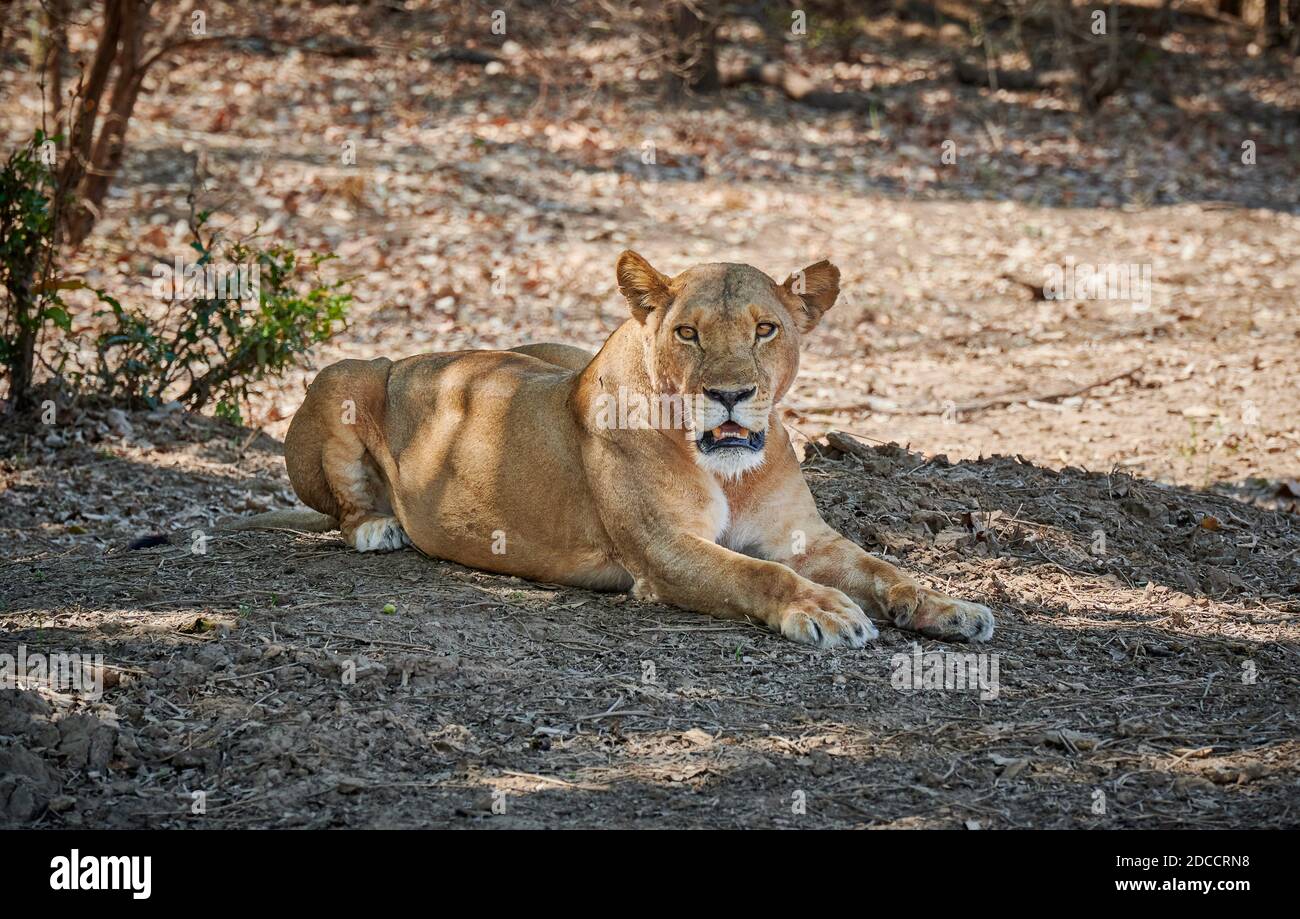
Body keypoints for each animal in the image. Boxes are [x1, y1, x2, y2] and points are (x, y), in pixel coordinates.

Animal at [253, 251, 994, 647]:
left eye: (766, 329)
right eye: (689, 333)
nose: (729, 394)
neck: (731, 472)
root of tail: (413, 356)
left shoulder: (805, 539)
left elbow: (883, 567)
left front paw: (948, 606)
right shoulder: (662, 550)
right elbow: (757, 575)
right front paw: (824, 610)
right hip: (346, 372)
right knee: (343, 506)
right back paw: (378, 526)